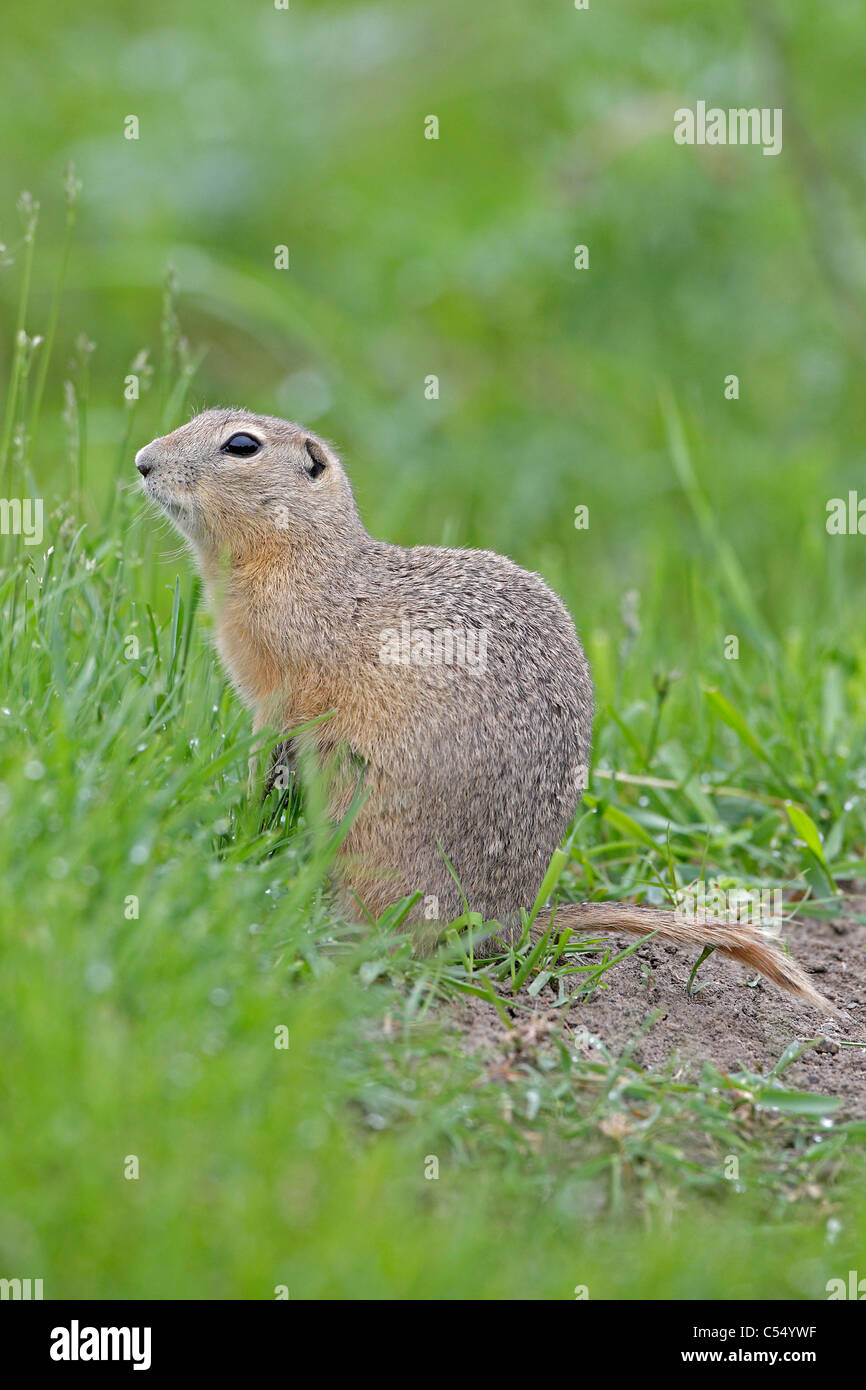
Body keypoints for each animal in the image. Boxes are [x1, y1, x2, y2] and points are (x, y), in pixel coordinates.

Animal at [136, 408, 829, 1012]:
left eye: (241, 445)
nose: (143, 461)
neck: (310, 558)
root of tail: (509, 925)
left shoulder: (286, 681)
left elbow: (279, 731)